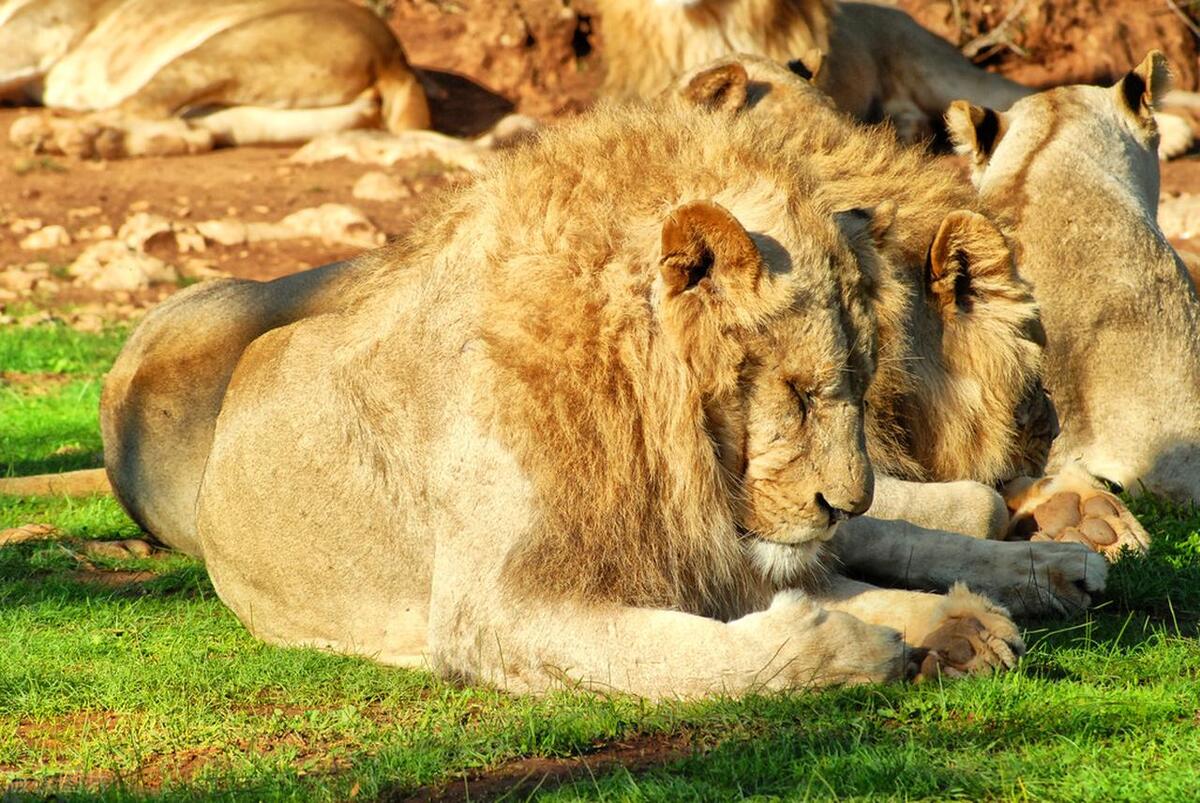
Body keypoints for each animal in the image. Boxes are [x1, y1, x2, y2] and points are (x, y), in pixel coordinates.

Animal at [1, 0, 429, 157]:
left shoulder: (28, 39)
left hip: (224, 51)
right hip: (269, 113)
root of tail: (396, 60)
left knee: (141, 106)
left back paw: (60, 135)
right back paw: (96, 142)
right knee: (197, 134)